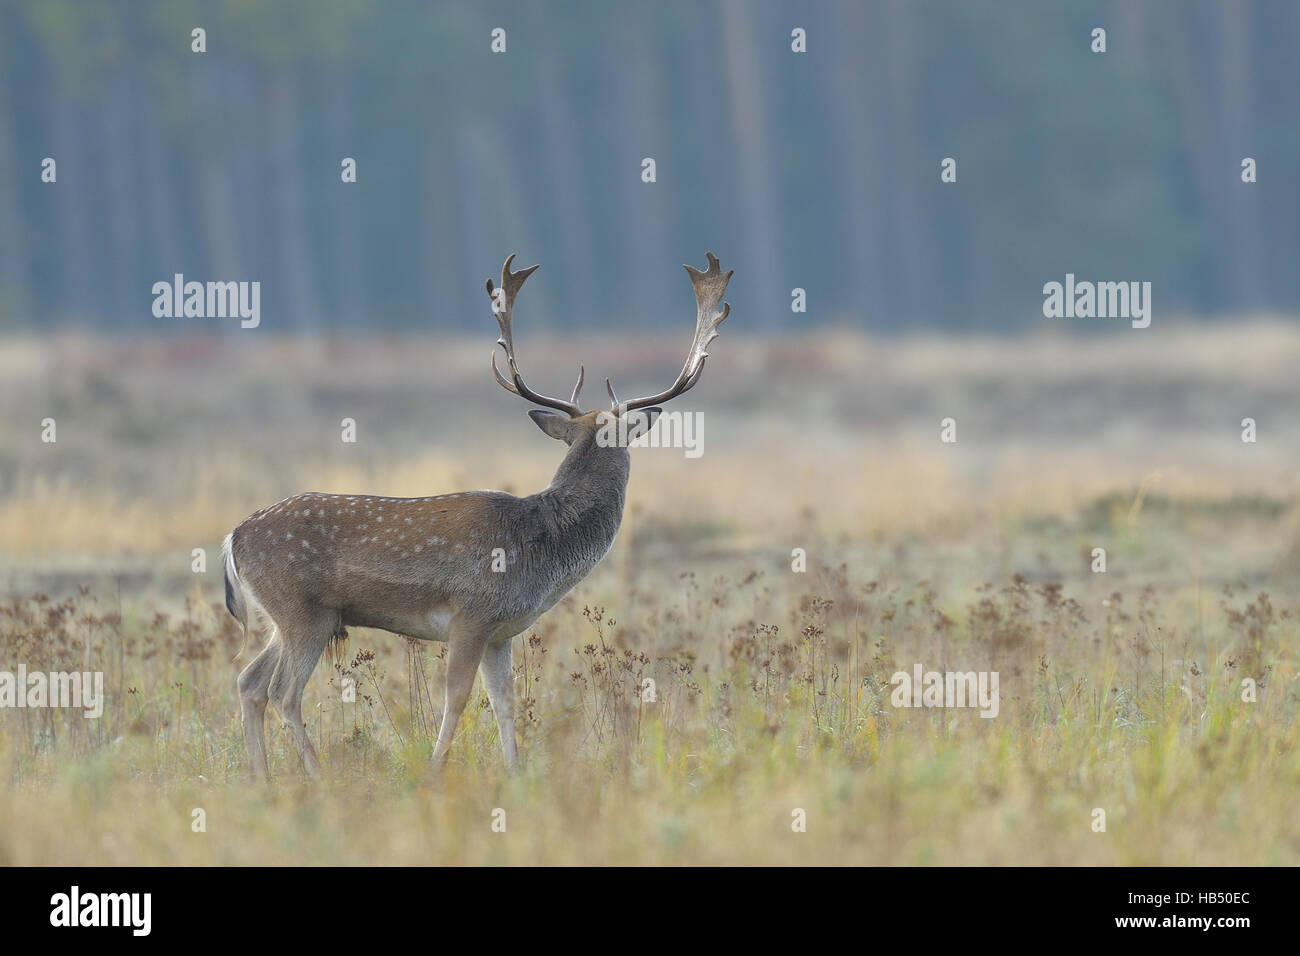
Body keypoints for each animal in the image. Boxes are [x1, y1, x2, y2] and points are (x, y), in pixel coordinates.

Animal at [222, 252, 732, 778]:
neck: (541, 547)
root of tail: (232, 538)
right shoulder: (470, 613)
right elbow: (458, 697)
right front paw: (435, 769)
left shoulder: (500, 632)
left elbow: (504, 700)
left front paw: (515, 772)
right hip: (303, 612)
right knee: (282, 692)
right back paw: (316, 774)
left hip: (285, 618)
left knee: (248, 682)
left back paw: (262, 779)